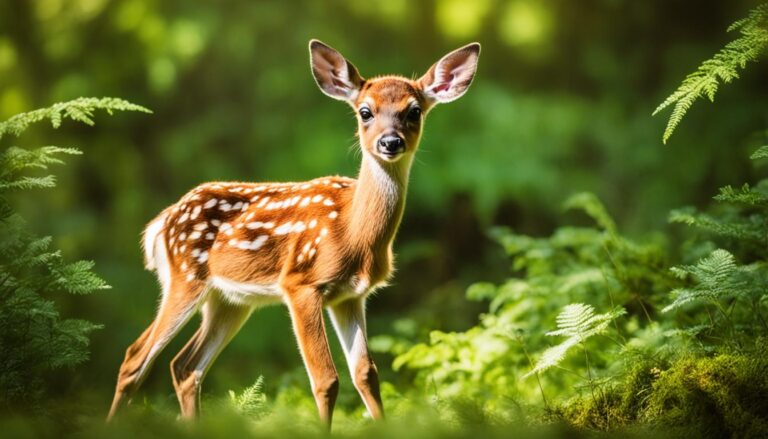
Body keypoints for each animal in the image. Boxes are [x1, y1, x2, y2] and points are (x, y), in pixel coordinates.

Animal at [107, 39, 480, 426]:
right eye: (365, 112)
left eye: (414, 111)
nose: (390, 142)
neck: (353, 232)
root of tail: (161, 222)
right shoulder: (300, 283)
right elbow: (326, 380)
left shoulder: (350, 296)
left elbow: (365, 374)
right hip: (185, 277)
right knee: (136, 357)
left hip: (229, 300)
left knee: (185, 366)